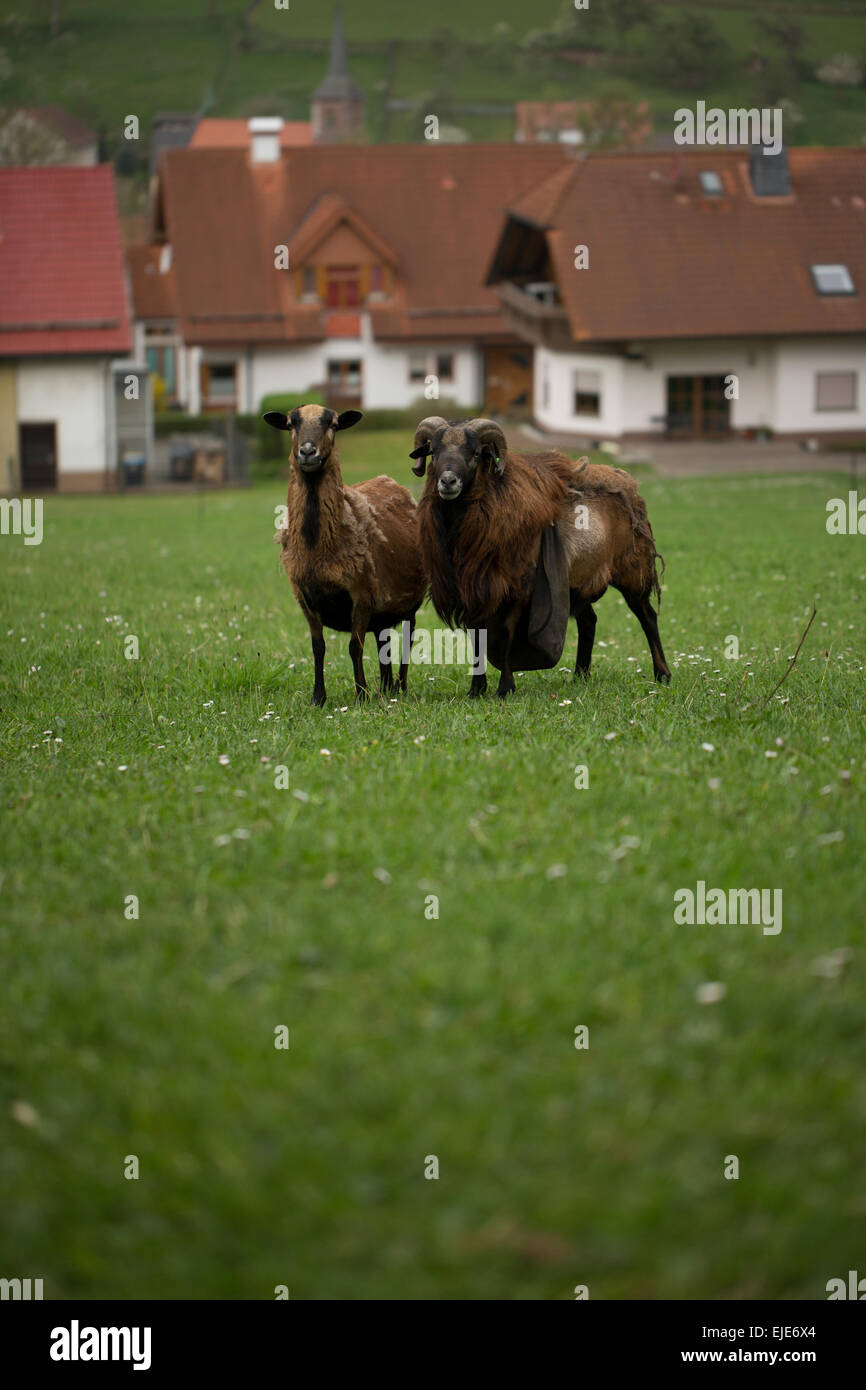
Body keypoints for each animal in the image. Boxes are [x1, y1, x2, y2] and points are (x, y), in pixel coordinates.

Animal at [265, 404, 425, 705]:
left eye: (334, 424)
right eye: (291, 424)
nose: (307, 451)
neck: (318, 547)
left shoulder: (360, 595)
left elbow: (354, 646)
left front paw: (361, 694)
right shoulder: (305, 598)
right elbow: (318, 647)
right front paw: (318, 697)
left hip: (408, 603)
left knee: (406, 642)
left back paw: (399, 687)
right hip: (382, 609)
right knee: (384, 641)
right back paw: (386, 688)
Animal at [410, 416, 670, 698]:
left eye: (476, 453)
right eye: (434, 452)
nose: (448, 481)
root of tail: (627, 482)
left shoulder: (519, 587)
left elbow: (507, 634)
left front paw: (505, 688)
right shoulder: (472, 589)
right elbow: (477, 638)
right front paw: (476, 690)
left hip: (633, 569)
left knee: (647, 617)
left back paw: (662, 675)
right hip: (576, 582)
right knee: (589, 621)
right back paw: (580, 677)